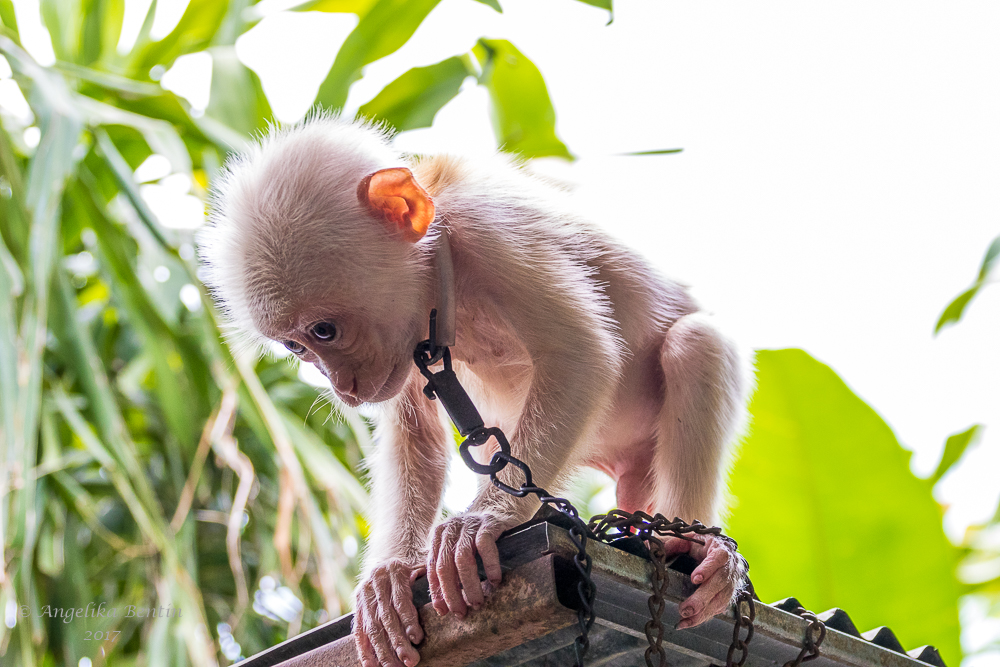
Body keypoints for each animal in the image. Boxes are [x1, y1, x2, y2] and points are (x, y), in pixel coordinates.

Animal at [199, 114, 749, 667]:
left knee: (695, 345)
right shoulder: (407, 349)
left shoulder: (492, 233)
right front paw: (389, 576)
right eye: (295, 347)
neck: (444, 275)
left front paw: (487, 517)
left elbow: (581, 352)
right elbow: (417, 437)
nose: (343, 388)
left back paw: (696, 546)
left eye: (324, 331)